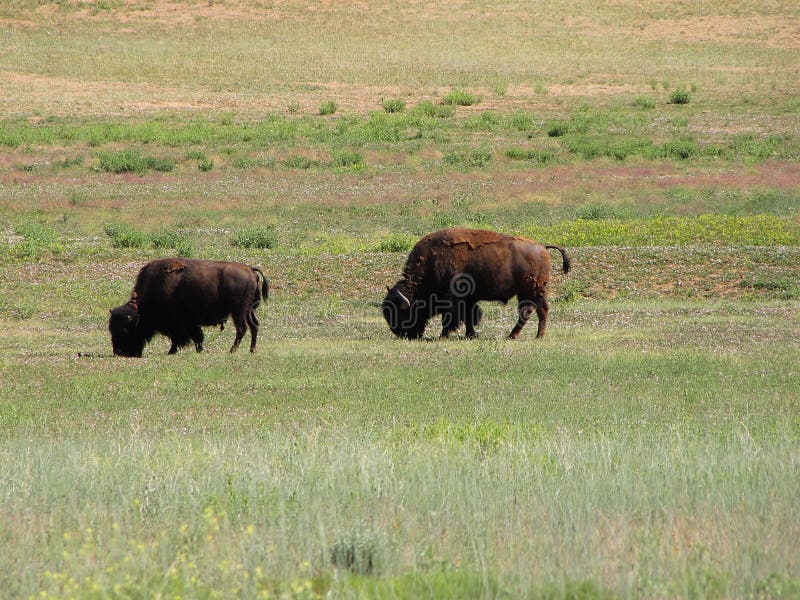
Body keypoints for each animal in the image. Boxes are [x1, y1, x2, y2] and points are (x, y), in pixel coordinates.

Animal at [109, 258, 269, 357]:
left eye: (125, 329)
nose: (119, 352)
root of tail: (250, 269)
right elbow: (195, 336)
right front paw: (198, 349)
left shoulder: (178, 324)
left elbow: (180, 338)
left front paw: (172, 351)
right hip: (249, 310)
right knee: (254, 326)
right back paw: (251, 350)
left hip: (239, 311)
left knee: (242, 328)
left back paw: (232, 350)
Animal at [382, 228, 570, 340]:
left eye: (402, 312)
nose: (400, 333)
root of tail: (543, 247)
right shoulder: (468, 300)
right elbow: (467, 318)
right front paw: (470, 335)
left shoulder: (453, 299)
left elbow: (451, 318)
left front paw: (444, 335)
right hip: (529, 292)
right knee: (534, 310)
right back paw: (524, 335)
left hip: (532, 291)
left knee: (534, 310)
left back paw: (525, 336)